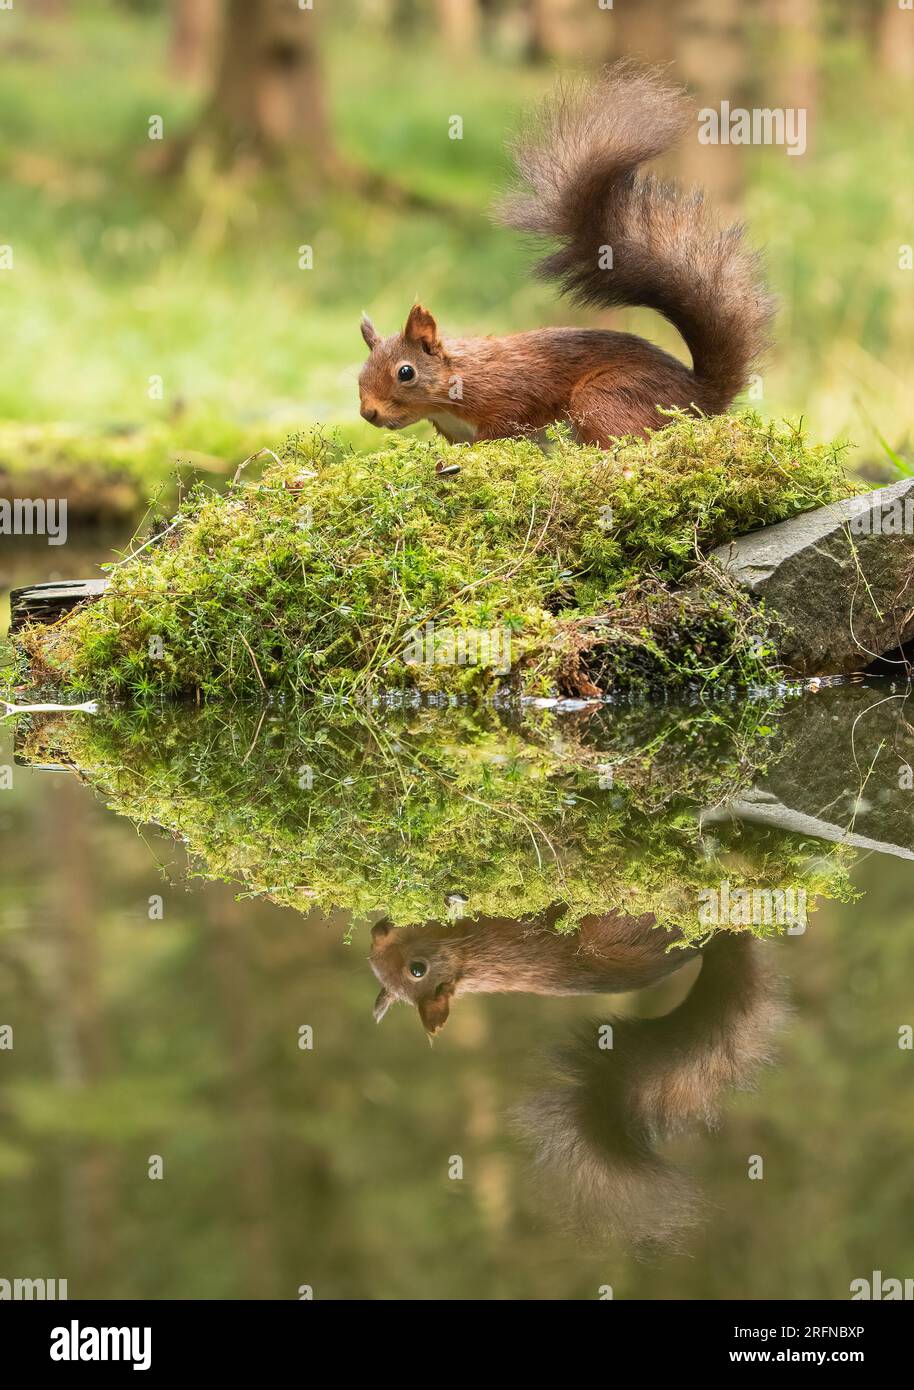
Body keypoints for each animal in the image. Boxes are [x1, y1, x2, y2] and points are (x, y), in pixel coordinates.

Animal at [358, 63, 775, 448]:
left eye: (406, 372)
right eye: (362, 370)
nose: (368, 413)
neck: (454, 380)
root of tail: (697, 399)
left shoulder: (507, 397)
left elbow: (504, 427)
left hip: (605, 397)